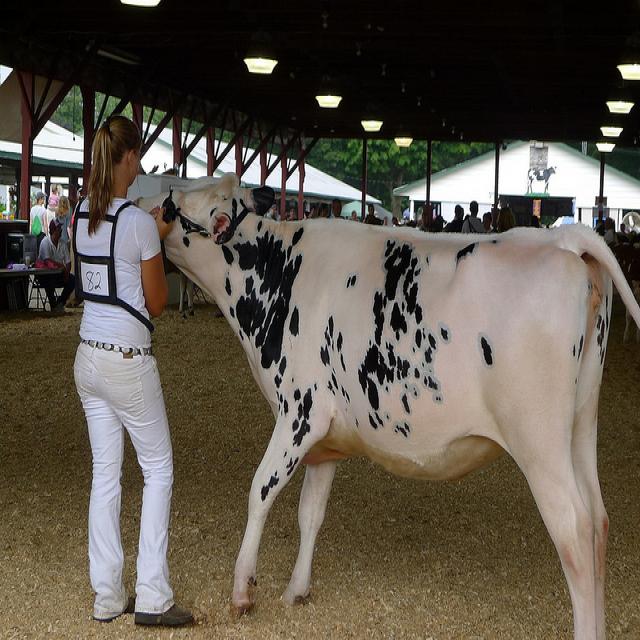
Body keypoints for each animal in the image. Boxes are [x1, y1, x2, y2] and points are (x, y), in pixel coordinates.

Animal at [140, 174, 640, 640]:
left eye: (174, 204)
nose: (143, 206)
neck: (279, 276)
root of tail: (562, 239)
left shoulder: (300, 413)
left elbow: (261, 491)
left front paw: (243, 591)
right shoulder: (327, 436)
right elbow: (310, 512)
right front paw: (296, 590)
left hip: (539, 440)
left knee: (574, 530)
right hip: (581, 425)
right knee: (598, 521)